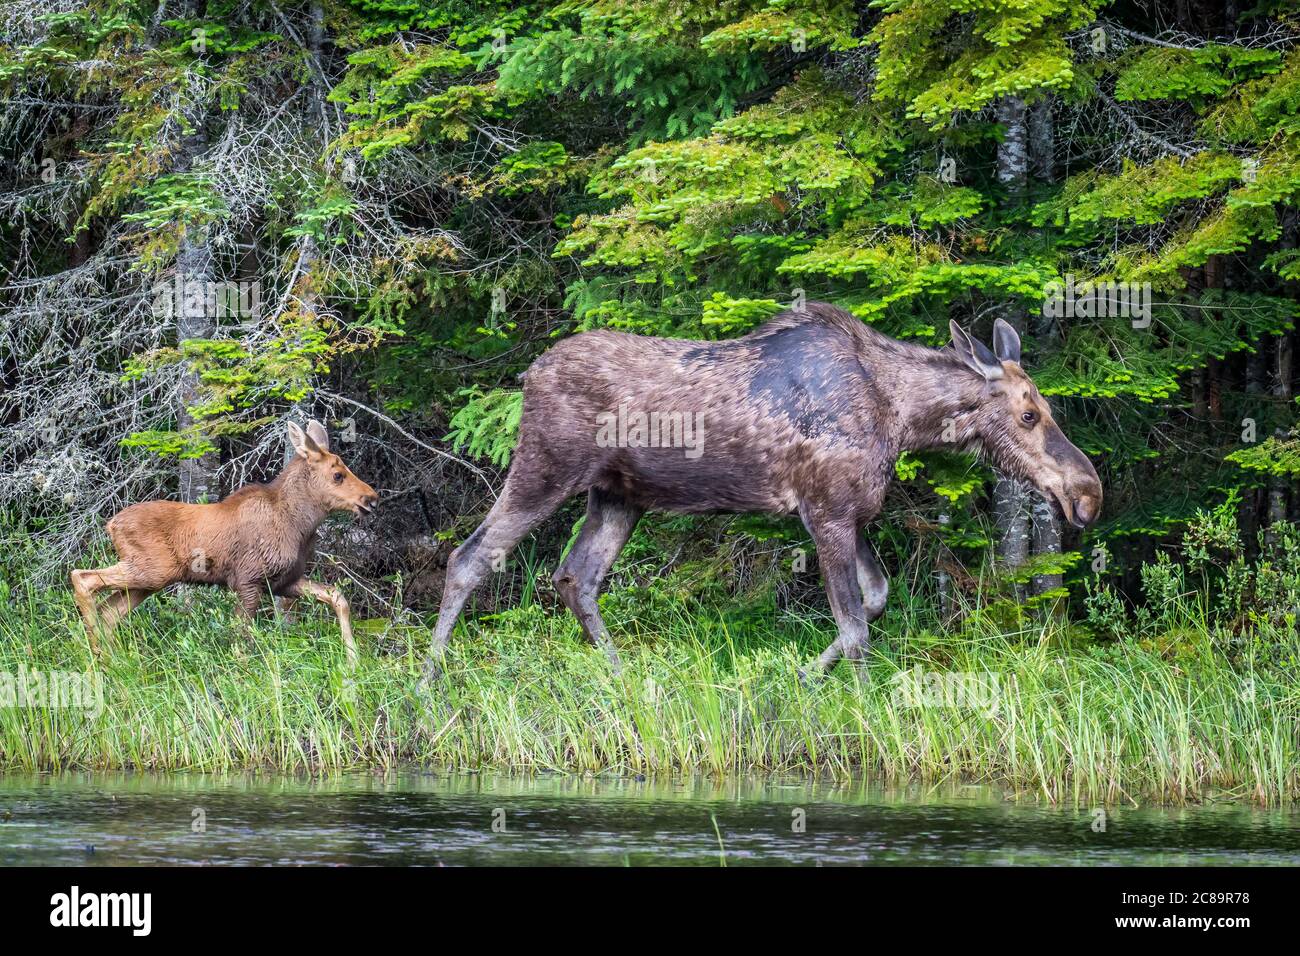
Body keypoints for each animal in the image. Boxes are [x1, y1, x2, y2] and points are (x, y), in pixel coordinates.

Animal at [71, 420, 379, 665]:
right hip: (151, 570)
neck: (299, 526)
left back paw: (112, 662)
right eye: (337, 475)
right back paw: (97, 658)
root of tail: (110, 525)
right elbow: (241, 638)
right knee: (82, 578)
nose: (372, 499)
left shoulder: (285, 581)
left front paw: (353, 660)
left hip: (148, 581)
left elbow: (337, 597)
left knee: (109, 613)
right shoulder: (248, 579)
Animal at [430, 302, 1102, 673]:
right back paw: (429, 683)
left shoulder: (851, 513)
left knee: (575, 577)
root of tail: (527, 374)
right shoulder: (826, 510)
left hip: (618, 497)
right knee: (469, 557)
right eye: (1028, 414)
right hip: (545, 468)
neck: (902, 419)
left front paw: (802, 678)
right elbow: (856, 628)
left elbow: (874, 600)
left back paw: (623, 680)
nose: (1088, 492)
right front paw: (859, 709)